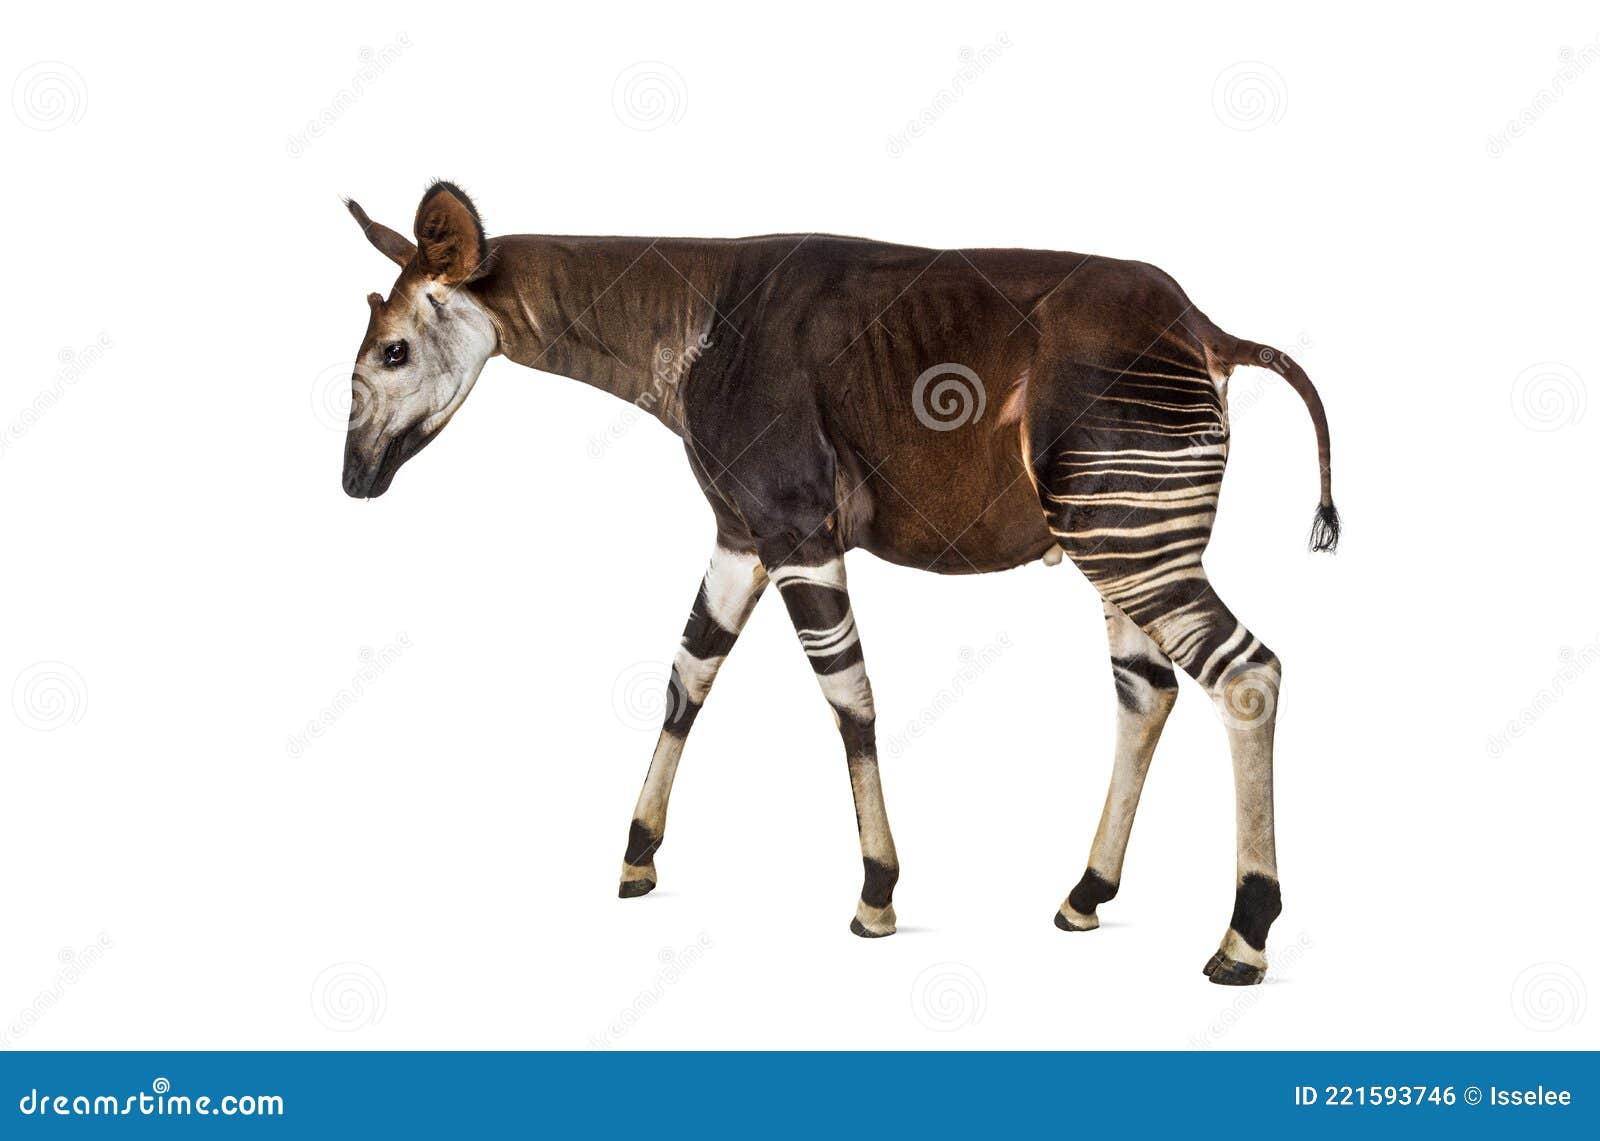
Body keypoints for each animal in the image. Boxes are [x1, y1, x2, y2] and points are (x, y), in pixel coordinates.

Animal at [341, 181, 1338, 984]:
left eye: (391, 353)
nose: (354, 479)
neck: (687, 324)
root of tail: (1205, 331)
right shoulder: (740, 533)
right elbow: (688, 677)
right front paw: (636, 856)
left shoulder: (796, 526)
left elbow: (847, 697)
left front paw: (876, 893)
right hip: (1122, 540)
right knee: (1149, 690)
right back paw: (1084, 894)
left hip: (1128, 531)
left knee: (1245, 675)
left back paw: (1241, 939)